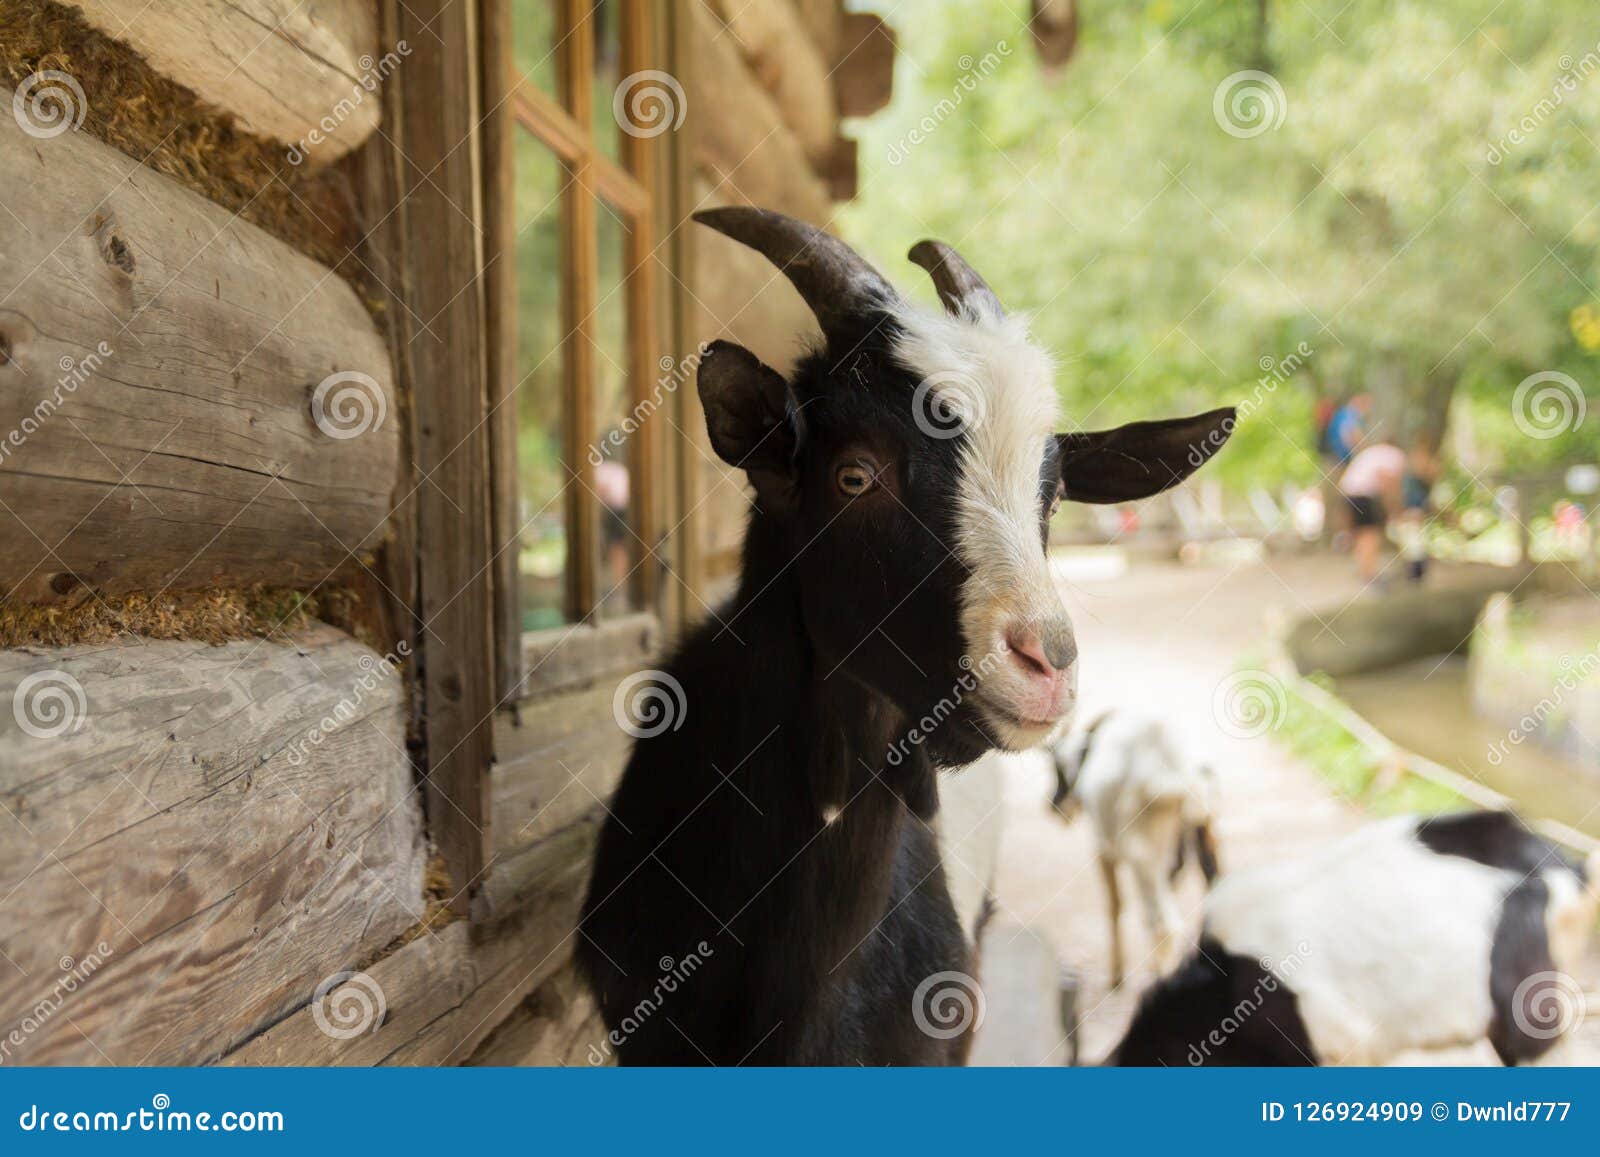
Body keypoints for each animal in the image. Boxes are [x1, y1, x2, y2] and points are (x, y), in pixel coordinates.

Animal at [1050, 709, 1218, 986]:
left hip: (1143, 857)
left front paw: (1117, 975)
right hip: (1201, 835)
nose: (1054, 806)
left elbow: (1115, 905)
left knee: (1163, 924)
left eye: (1057, 769)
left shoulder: (1103, 848)